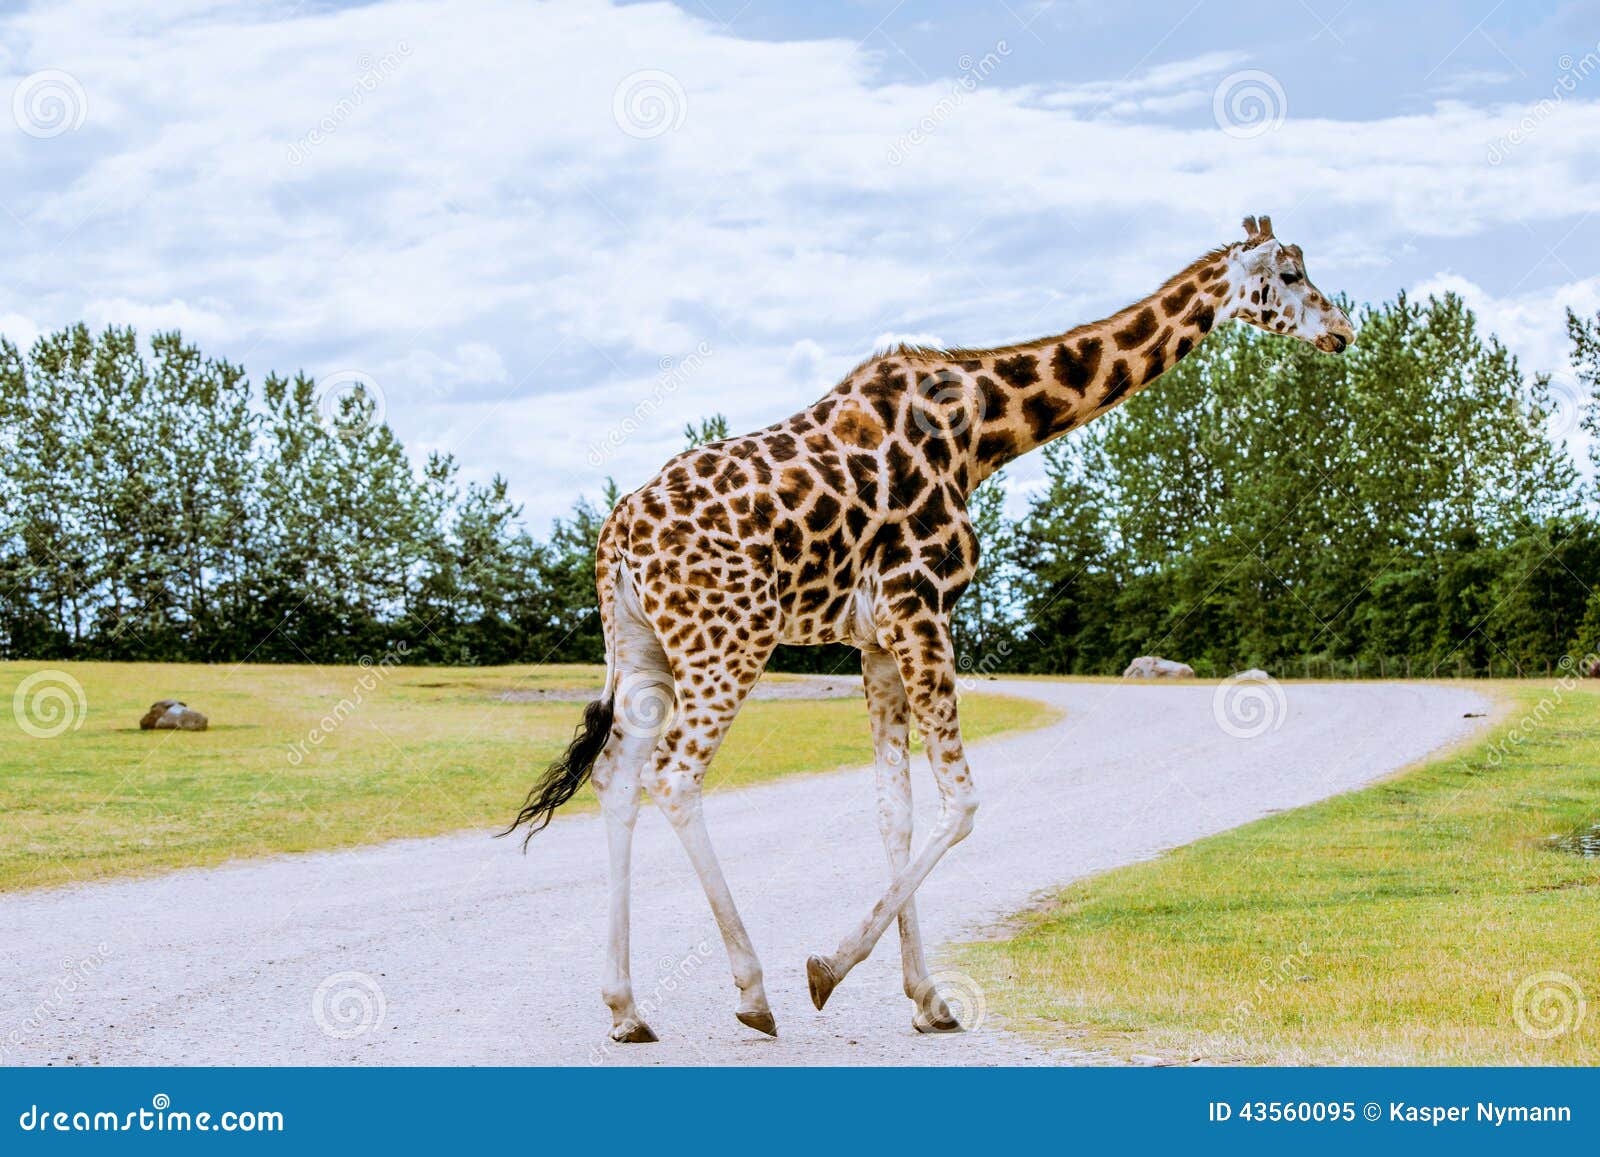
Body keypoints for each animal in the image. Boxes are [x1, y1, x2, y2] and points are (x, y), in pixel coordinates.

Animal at [506, 215, 1355, 1043]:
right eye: (1289, 274)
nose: (1343, 330)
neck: (983, 430)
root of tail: (614, 536)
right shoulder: (923, 607)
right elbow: (964, 800)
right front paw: (830, 969)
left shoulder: (879, 639)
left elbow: (896, 809)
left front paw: (928, 999)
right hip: (730, 638)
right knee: (675, 775)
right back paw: (752, 992)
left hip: (645, 647)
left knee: (616, 775)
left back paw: (626, 1008)